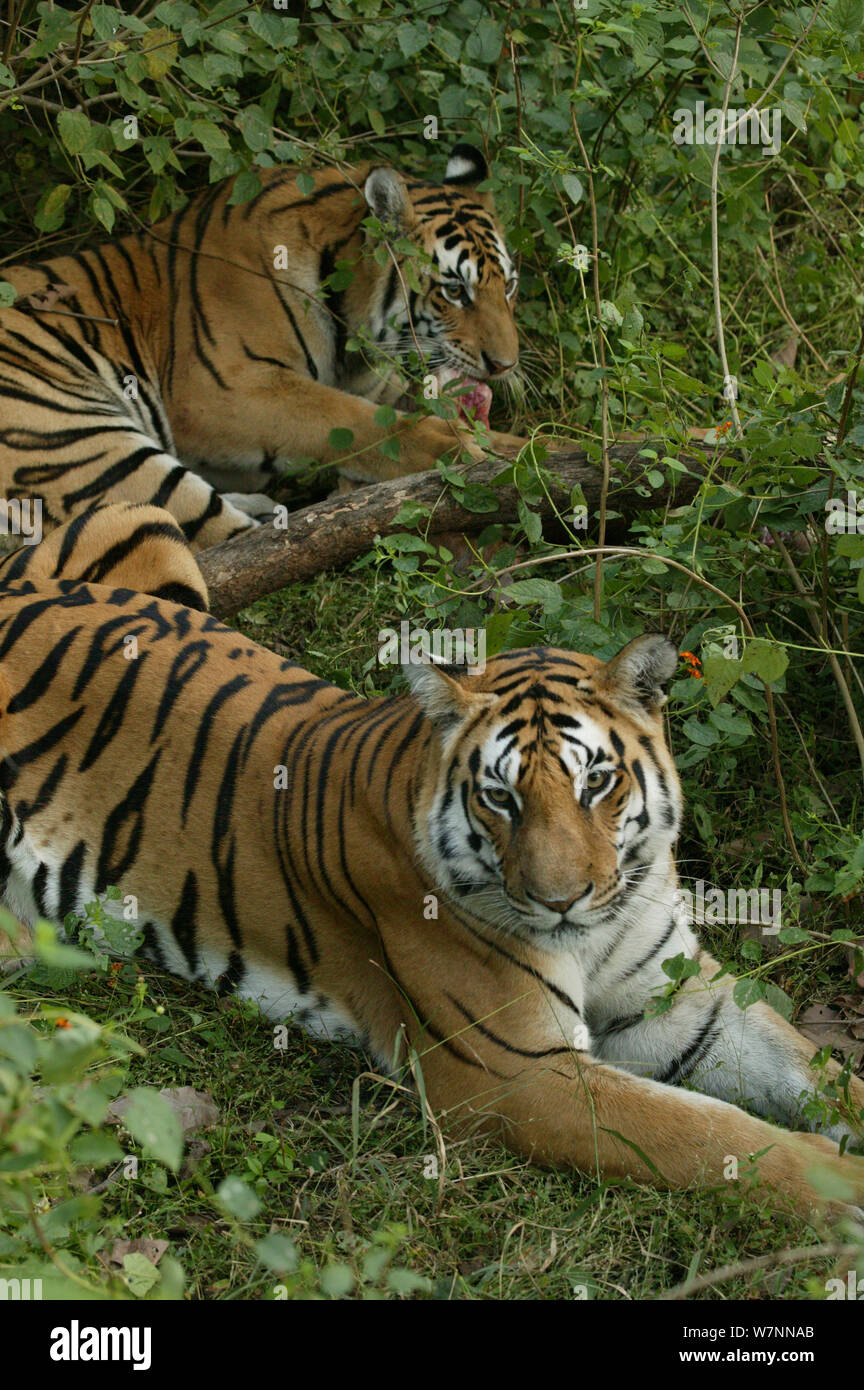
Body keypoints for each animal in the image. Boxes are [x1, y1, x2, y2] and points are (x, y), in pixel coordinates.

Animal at [0, 144, 522, 552]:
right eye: (454, 290)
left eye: (510, 286)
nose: (505, 365)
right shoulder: (223, 389)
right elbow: (357, 422)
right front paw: (456, 449)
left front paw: (530, 452)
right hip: (78, 438)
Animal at [1, 501, 863, 1223]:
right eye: (500, 797)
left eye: (596, 782)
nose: (561, 900)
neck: (600, 928)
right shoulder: (515, 1073)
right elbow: (707, 1135)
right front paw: (839, 1192)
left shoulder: (685, 1004)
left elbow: (816, 1070)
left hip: (141, 522)